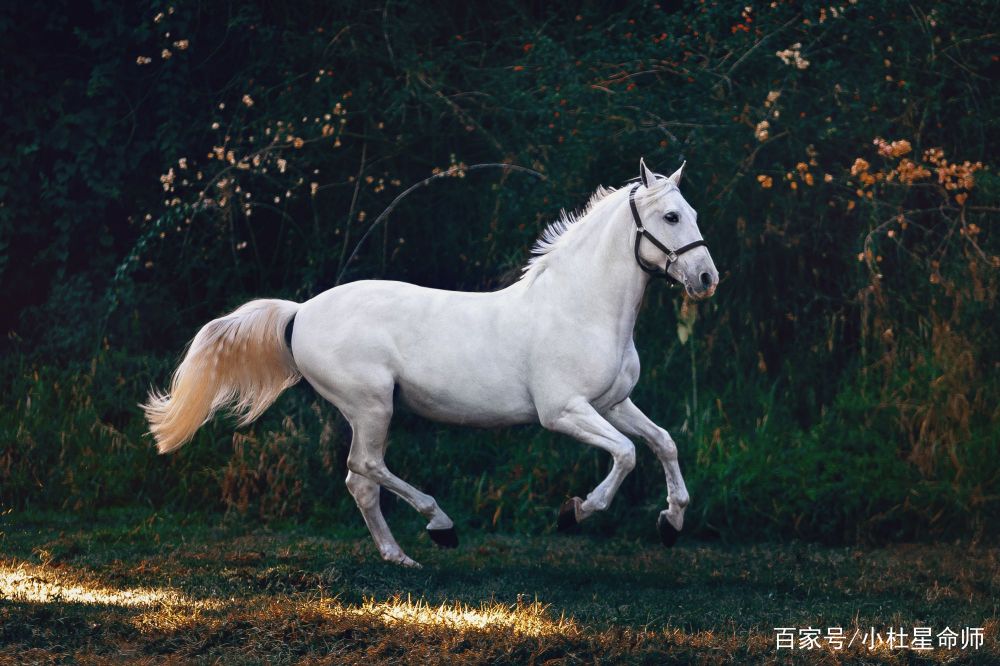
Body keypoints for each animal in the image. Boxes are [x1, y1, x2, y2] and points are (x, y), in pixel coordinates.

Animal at [143, 158, 719, 567]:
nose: (707, 278)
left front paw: (671, 523)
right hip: (372, 406)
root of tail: (300, 311)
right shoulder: (564, 412)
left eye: (693, 214)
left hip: (369, 411)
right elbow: (626, 454)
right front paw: (574, 513)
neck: (580, 307)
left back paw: (400, 557)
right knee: (366, 468)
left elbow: (663, 442)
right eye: (671, 216)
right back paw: (439, 526)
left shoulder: (613, 403)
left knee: (360, 481)